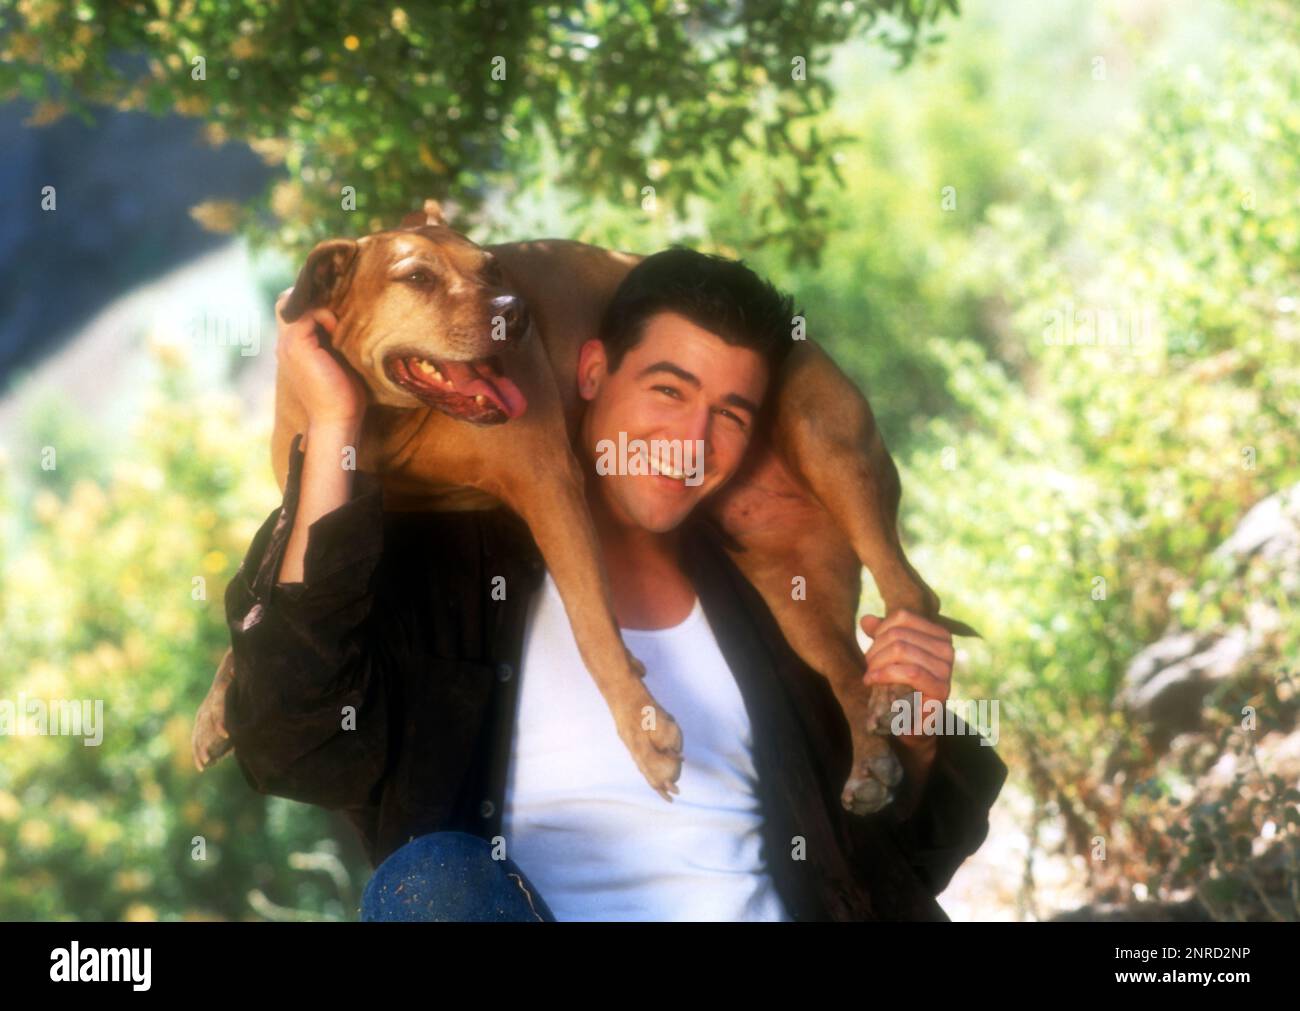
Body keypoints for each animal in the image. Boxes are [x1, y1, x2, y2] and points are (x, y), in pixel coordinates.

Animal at [195, 201, 977, 816]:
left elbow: (593, 624)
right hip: (792, 594)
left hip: (827, 445)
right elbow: (271, 596)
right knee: (844, 664)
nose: (513, 314)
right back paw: (872, 757)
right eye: (415, 277)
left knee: (913, 594)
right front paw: (215, 709)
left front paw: (642, 730)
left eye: (492, 270)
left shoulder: (549, 487)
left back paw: (897, 689)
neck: (396, 428)